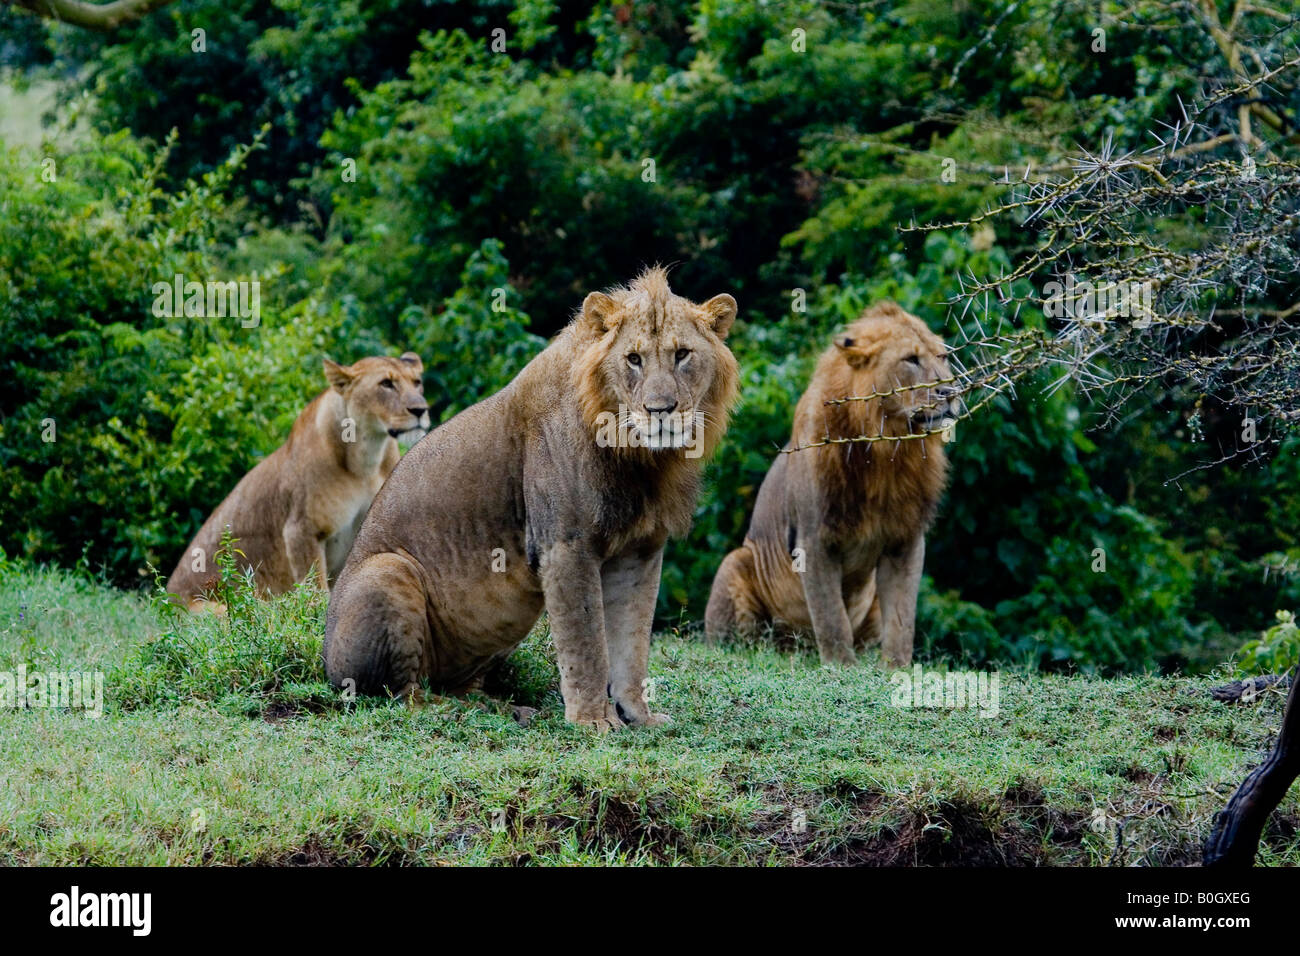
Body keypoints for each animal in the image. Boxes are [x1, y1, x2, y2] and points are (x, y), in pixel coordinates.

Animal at [166, 352, 430, 609]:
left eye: (417, 382)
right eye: (386, 384)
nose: (420, 410)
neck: (367, 457)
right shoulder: (301, 529)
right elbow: (316, 588)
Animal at [323, 267, 739, 731]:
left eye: (683, 355)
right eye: (633, 359)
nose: (660, 410)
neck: (640, 458)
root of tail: (325, 664)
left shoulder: (641, 553)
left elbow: (632, 645)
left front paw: (639, 716)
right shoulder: (566, 546)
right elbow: (587, 644)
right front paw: (593, 722)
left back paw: (504, 707)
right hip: (388, 570)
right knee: (405, 695)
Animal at [704, 302, 958, 668]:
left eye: (943, 356)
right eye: (911, 359)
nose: (951, 392)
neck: (889, 448)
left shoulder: (906, 539)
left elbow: (902, 617)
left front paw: (898, 669)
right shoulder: (814, 538)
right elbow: (830, 615)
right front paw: (840, 666)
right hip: (735, 562)